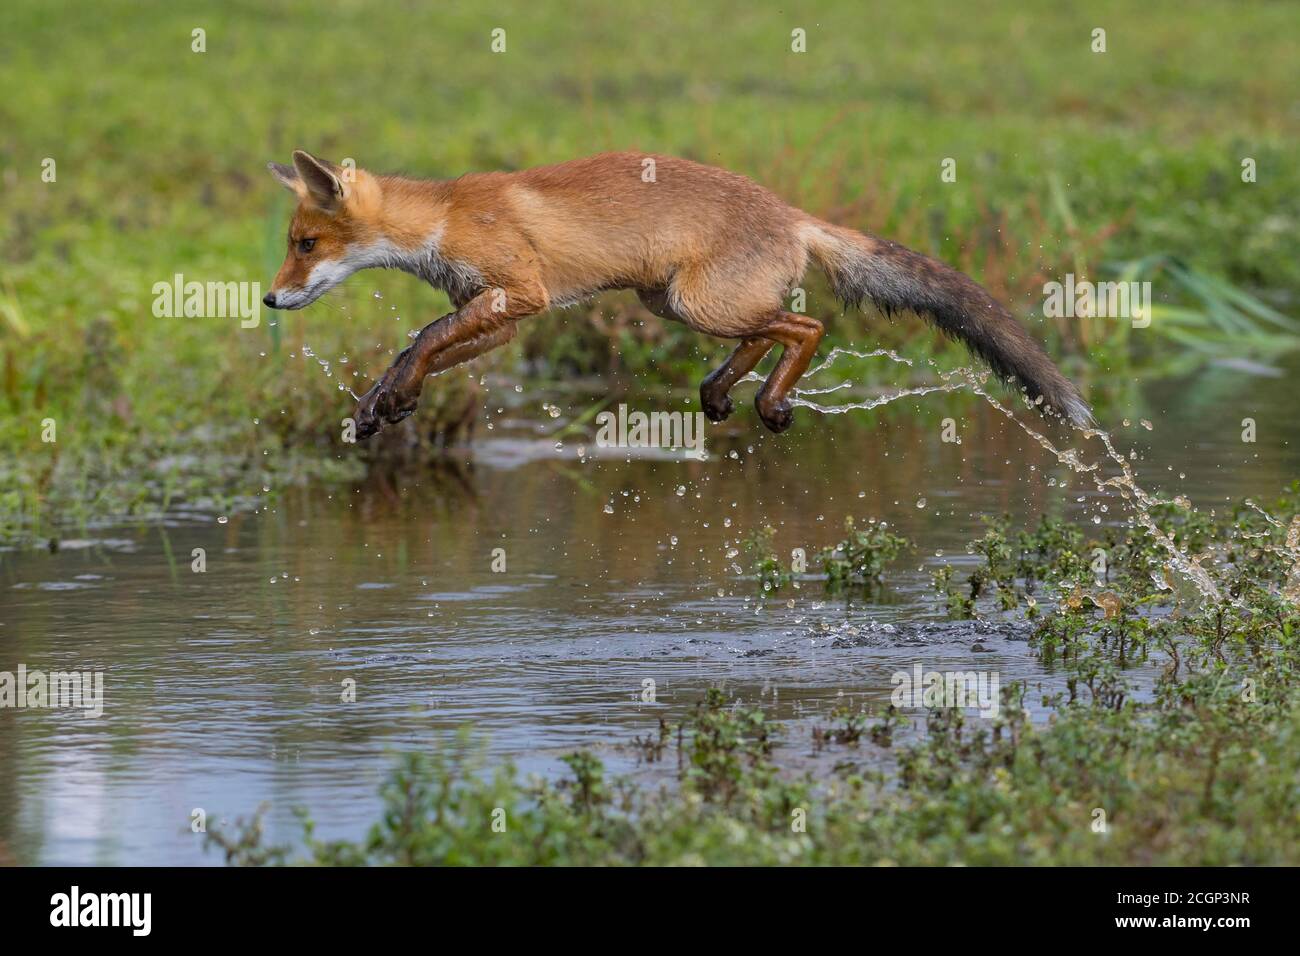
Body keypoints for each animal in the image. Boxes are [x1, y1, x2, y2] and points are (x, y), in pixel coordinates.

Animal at [264, 149, 1091, 440]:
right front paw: (386, 403)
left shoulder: (521, 292)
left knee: (808, 327)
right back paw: (724, 392)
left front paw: (392, 399)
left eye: (305, 246)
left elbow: (427, 340)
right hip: (670, 303)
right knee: (769, 331)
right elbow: (421, 347)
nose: (269, 302)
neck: (446, 218)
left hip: (697, 304)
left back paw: (767, 401)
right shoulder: (502, 315)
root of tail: (791, 212)